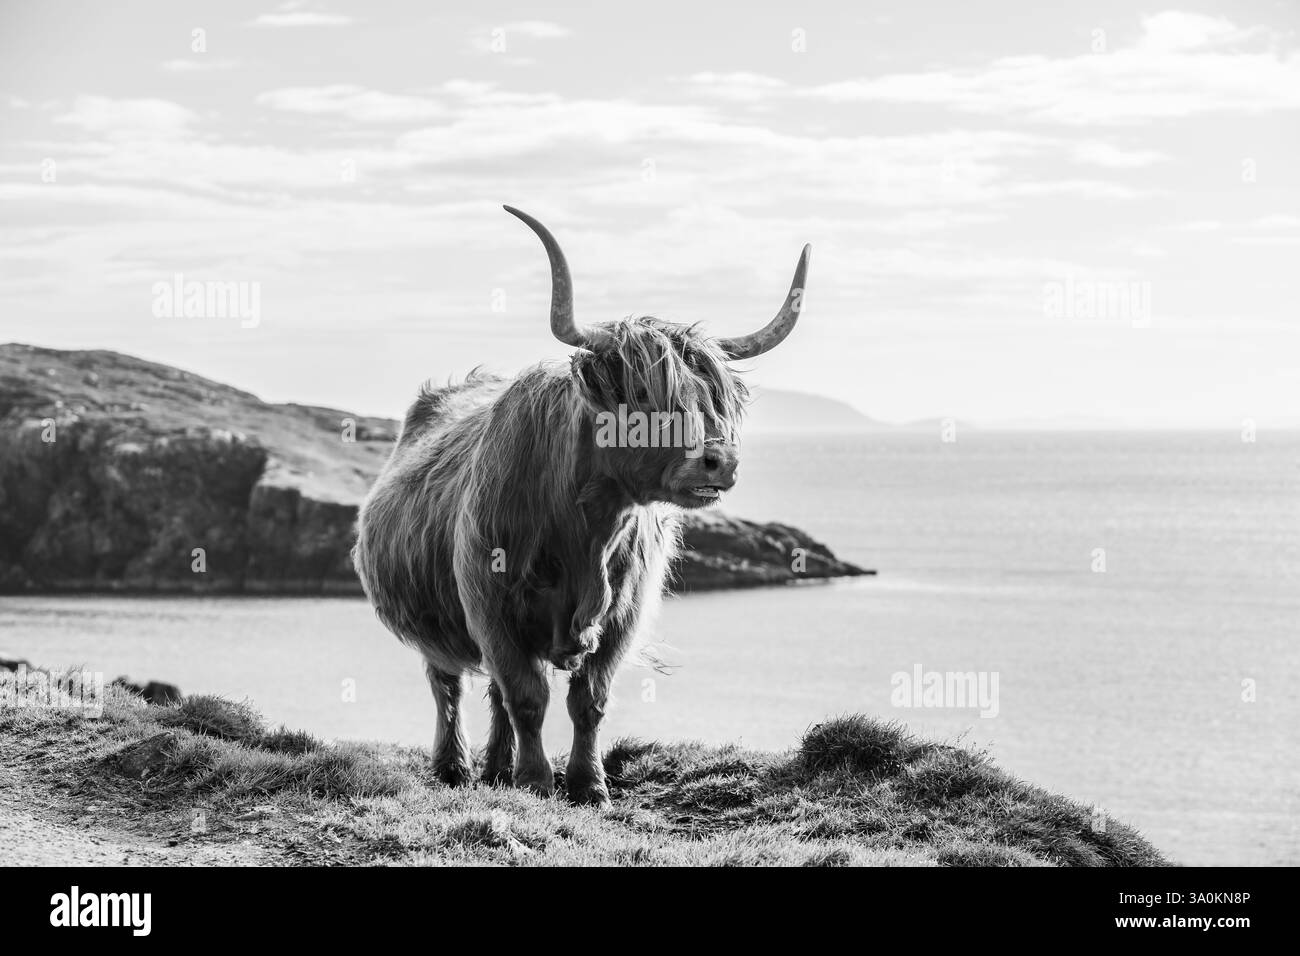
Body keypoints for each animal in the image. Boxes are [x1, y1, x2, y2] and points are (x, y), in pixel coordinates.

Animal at [352, 206, 810, 806]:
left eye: (715, 398)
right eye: (641, 396)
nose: (720, 461)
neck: (588, 528)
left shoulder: (623, 615)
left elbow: (588, 700)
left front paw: (589, 785)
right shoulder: (491, 607)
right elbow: (528, 696)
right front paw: (535, 780)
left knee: (493, 693)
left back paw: (495, 769)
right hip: (436, 622)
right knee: (446, 685)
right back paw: (456, 768)